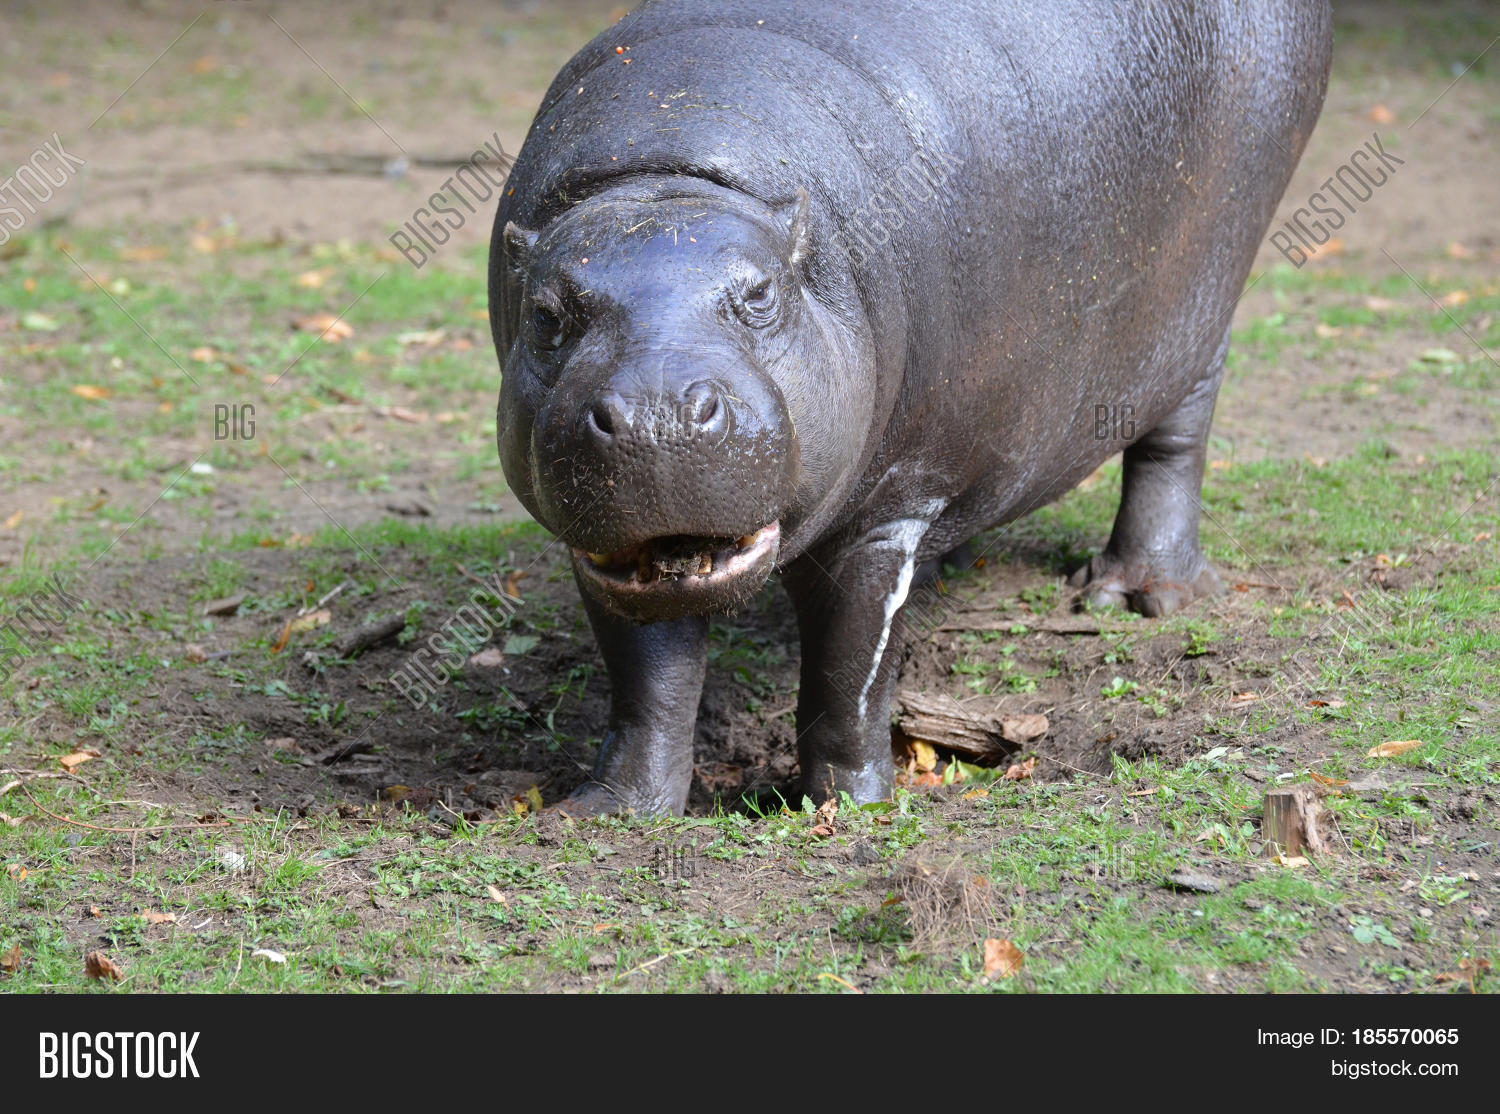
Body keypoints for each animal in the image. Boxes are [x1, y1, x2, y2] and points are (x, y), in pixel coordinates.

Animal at [489, 0, 1333, 815]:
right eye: (546, 313)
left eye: (761, 295)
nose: (655, 410)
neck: (663, 177)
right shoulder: (601, 542)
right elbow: (648, 681)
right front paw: (609, 812)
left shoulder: (887, 508)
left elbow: (848, 673)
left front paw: (845, 807)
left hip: (1205, 301)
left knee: (1175, 443)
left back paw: (1134, 595)